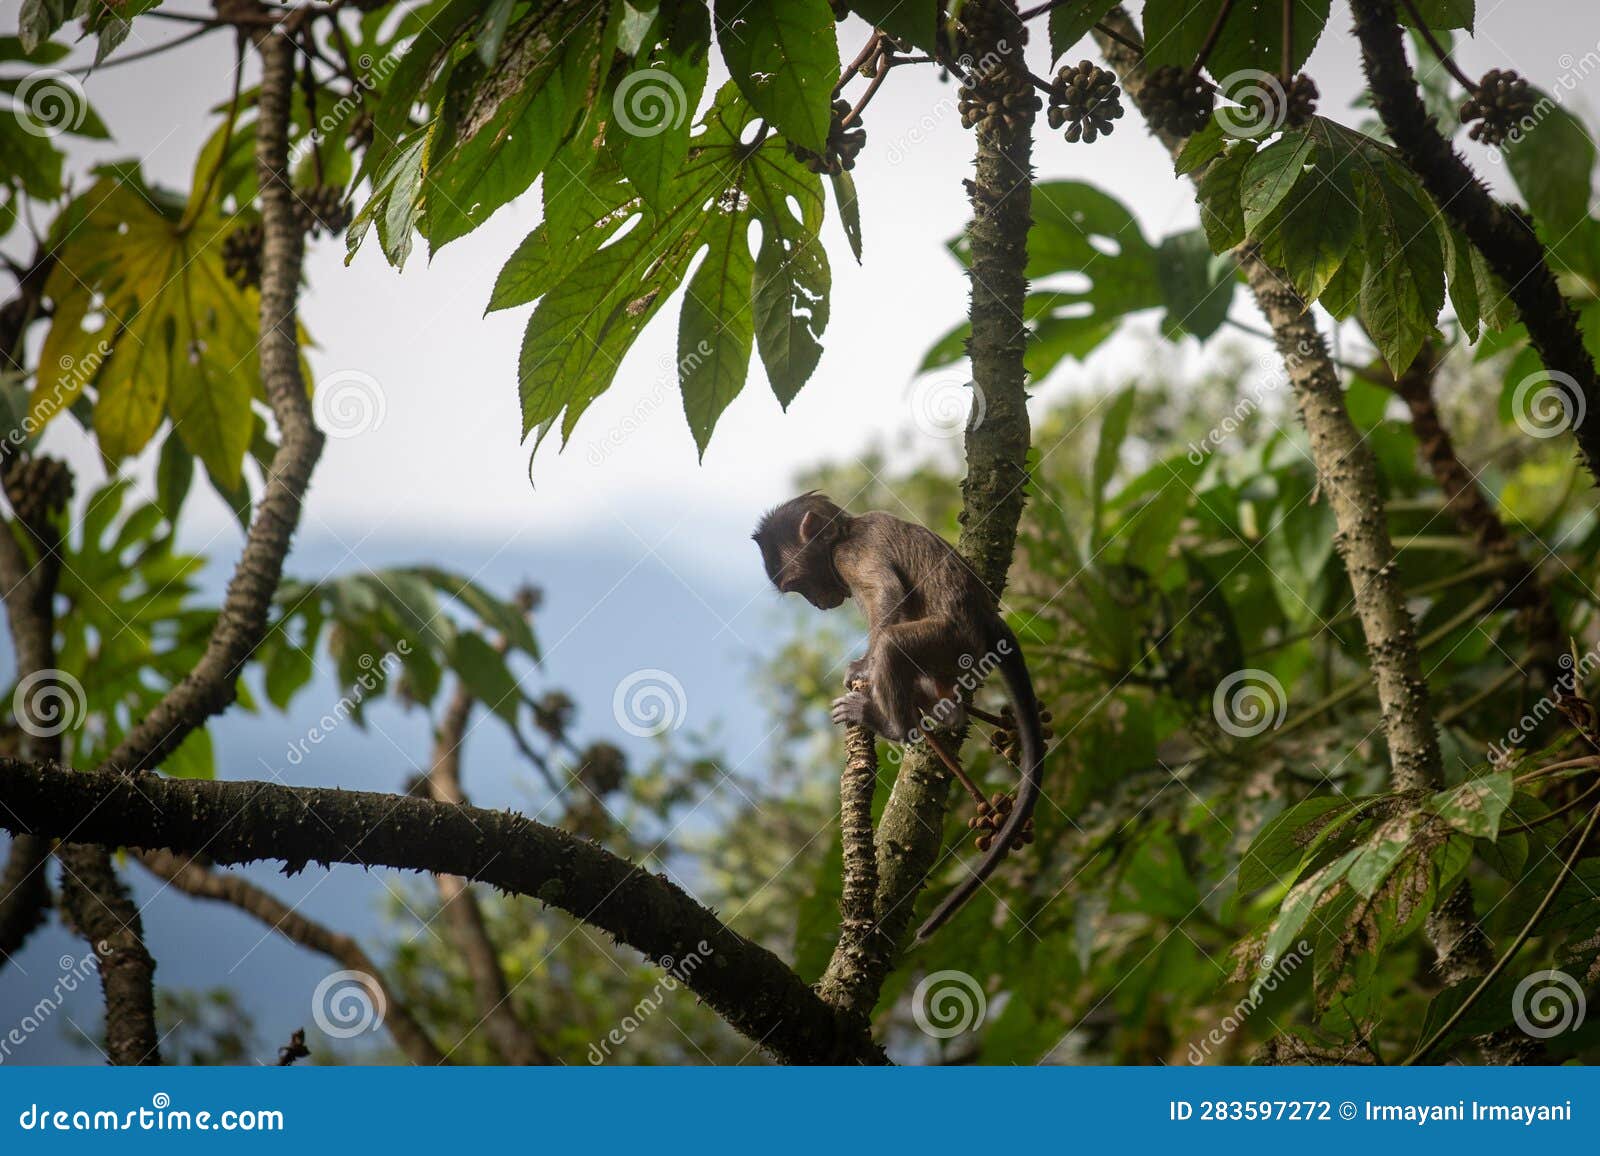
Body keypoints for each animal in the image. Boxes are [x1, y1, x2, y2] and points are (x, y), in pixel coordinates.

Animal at [752, 491, 1044, 941]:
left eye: (797, 585)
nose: (818, 603)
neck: (846, 531)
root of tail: (987, 622)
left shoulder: (850, 555)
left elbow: (888, 595)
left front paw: (864, 669)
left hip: (949, 641)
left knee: (893, 641)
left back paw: (892, 723)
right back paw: (949, 712)